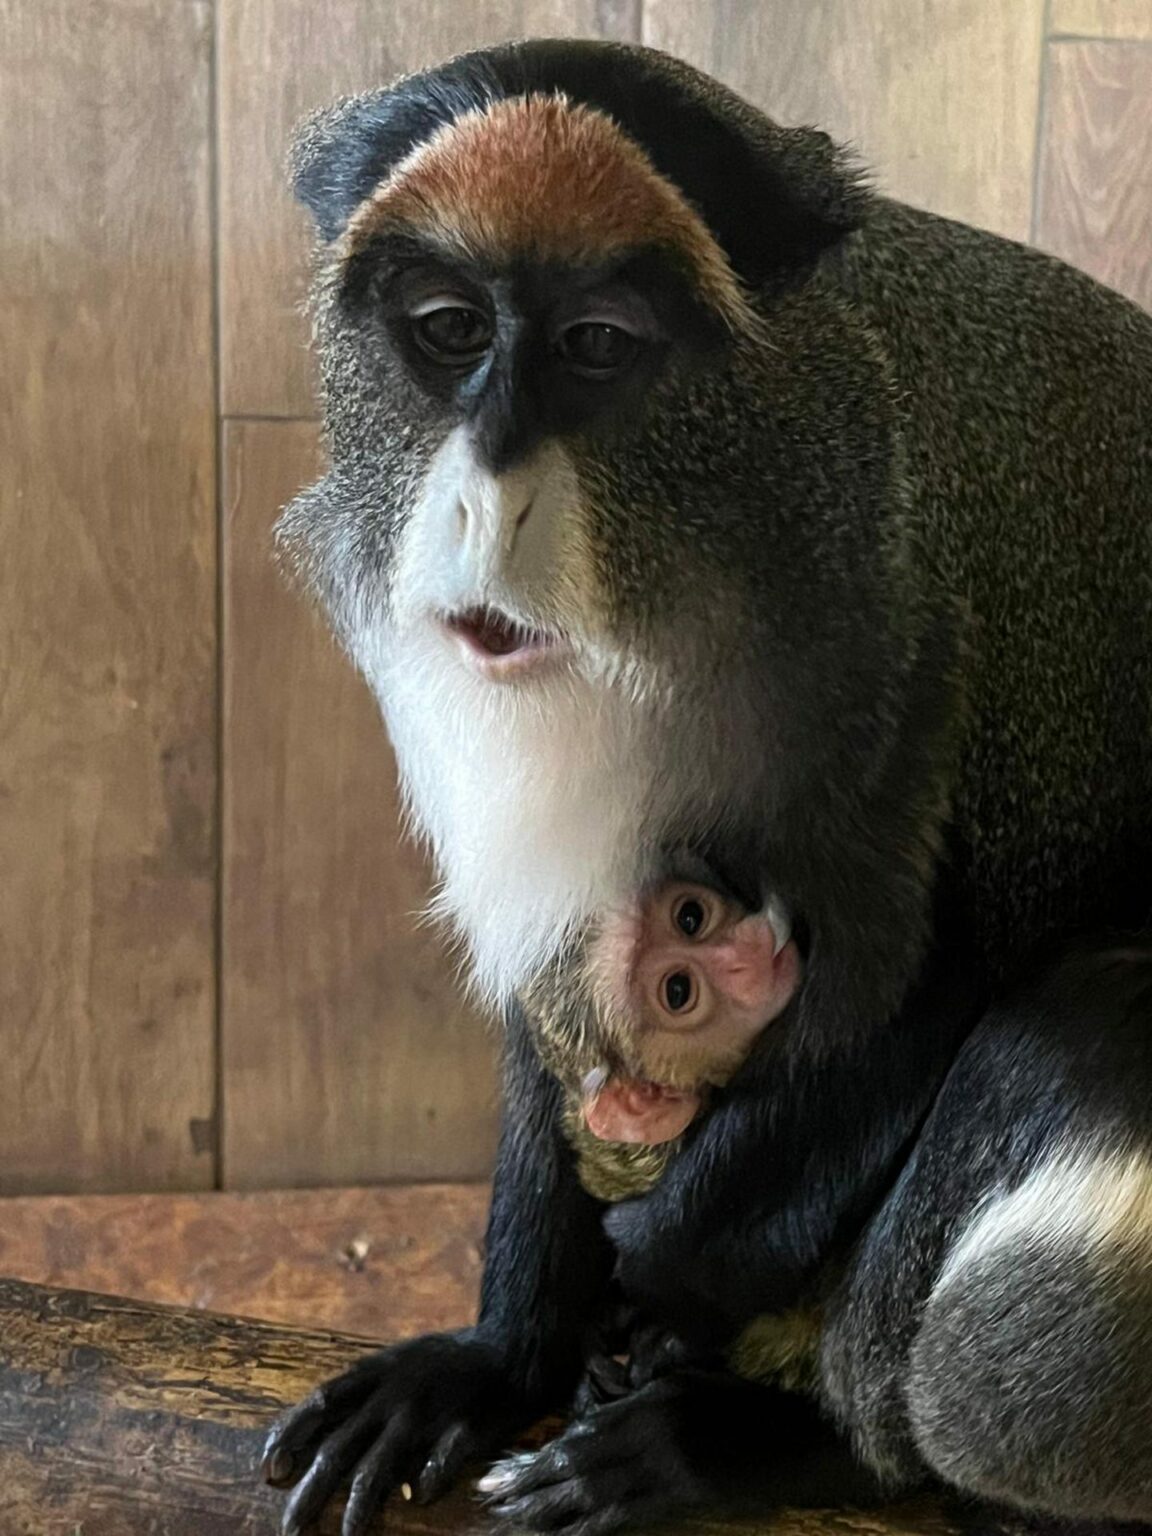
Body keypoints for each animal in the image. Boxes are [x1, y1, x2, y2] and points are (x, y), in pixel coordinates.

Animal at [260, 37, 1152, 1536]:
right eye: (449, 329)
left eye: (595, 346)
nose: (484, 497)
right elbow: (549, 1020)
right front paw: (505, 1355)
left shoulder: (902, 631)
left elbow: (923, 996)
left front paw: (664, 1293)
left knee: (1069, 1032)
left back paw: (778, 1437)